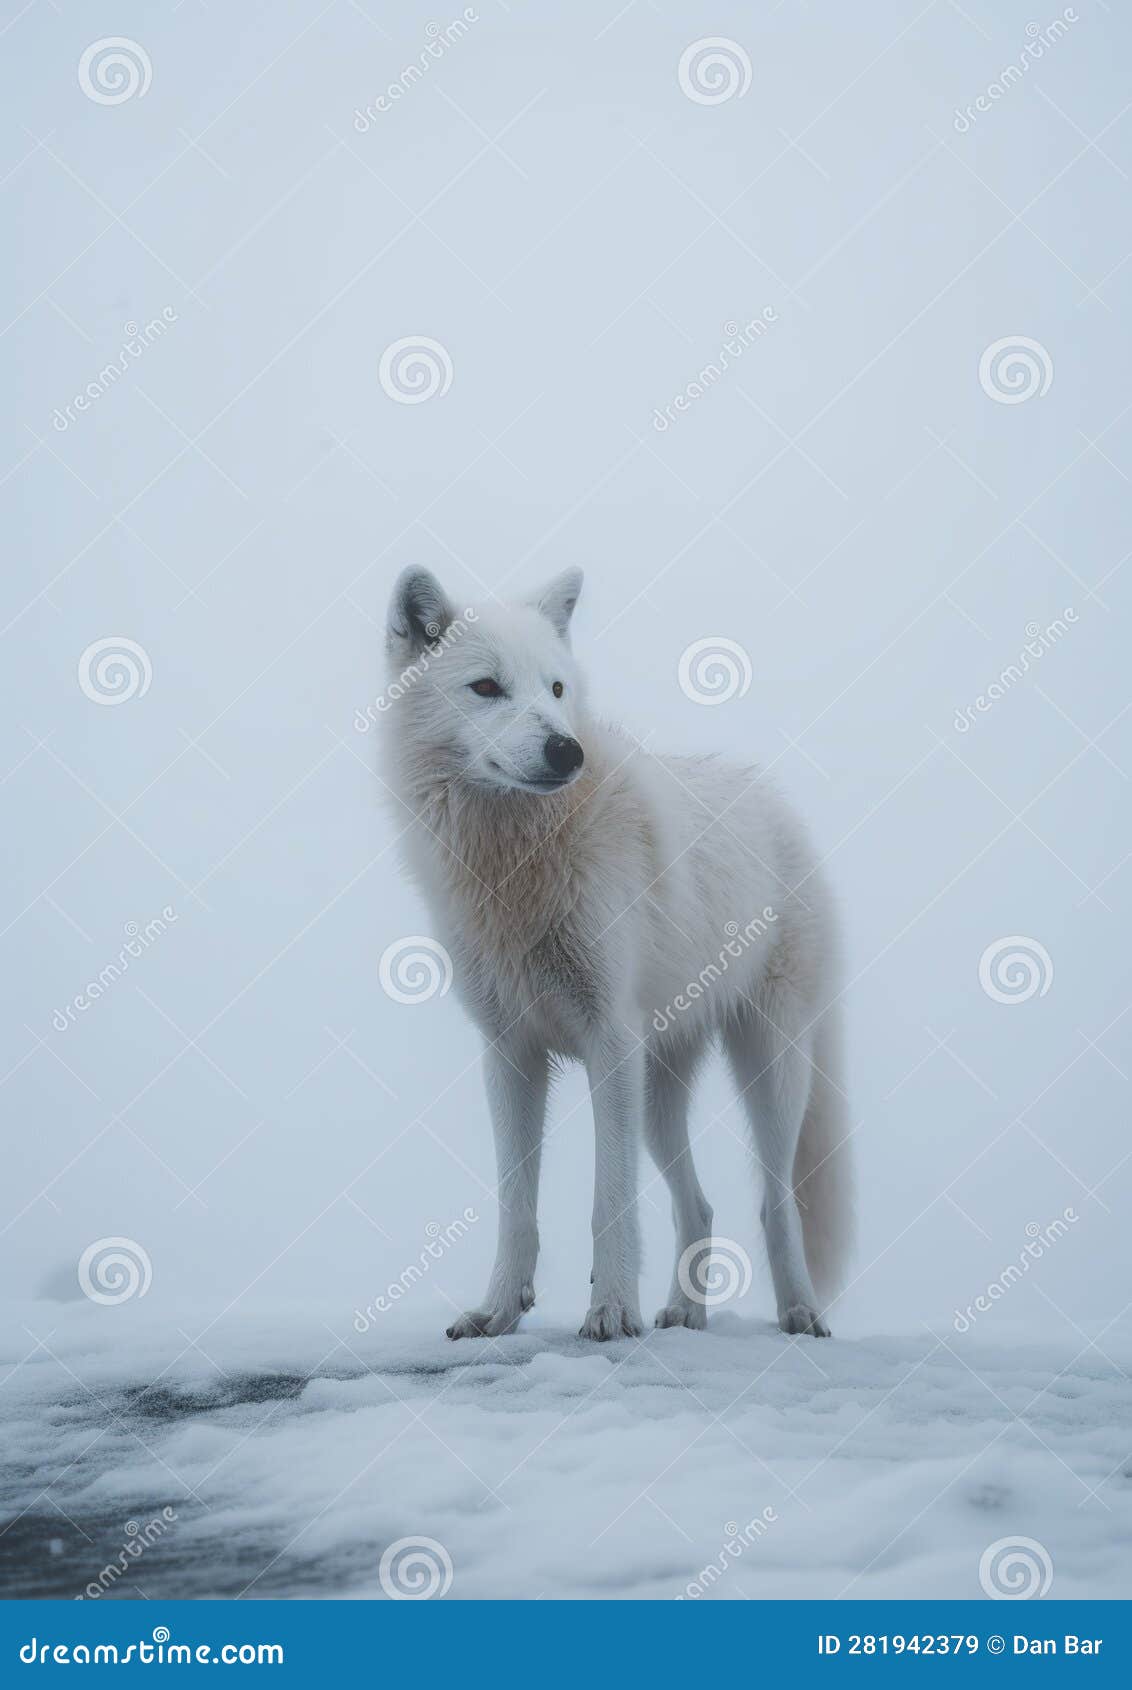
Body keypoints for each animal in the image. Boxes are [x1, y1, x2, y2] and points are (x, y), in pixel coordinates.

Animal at [382, 566, 852, 1341]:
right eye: (487, 687)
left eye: (556, 689)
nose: (566, 751)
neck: (514, 866)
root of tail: (779, 805)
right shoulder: (512, 1055)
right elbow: (517, 1207)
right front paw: (498, 1312)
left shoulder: (609, 1043)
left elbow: (611, 1201)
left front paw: (611, 1311)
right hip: (659, 1094)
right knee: (701, 1205)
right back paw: (685, 1313)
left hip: (765, 1070)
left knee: (775, 1201)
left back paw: (800, 1314)